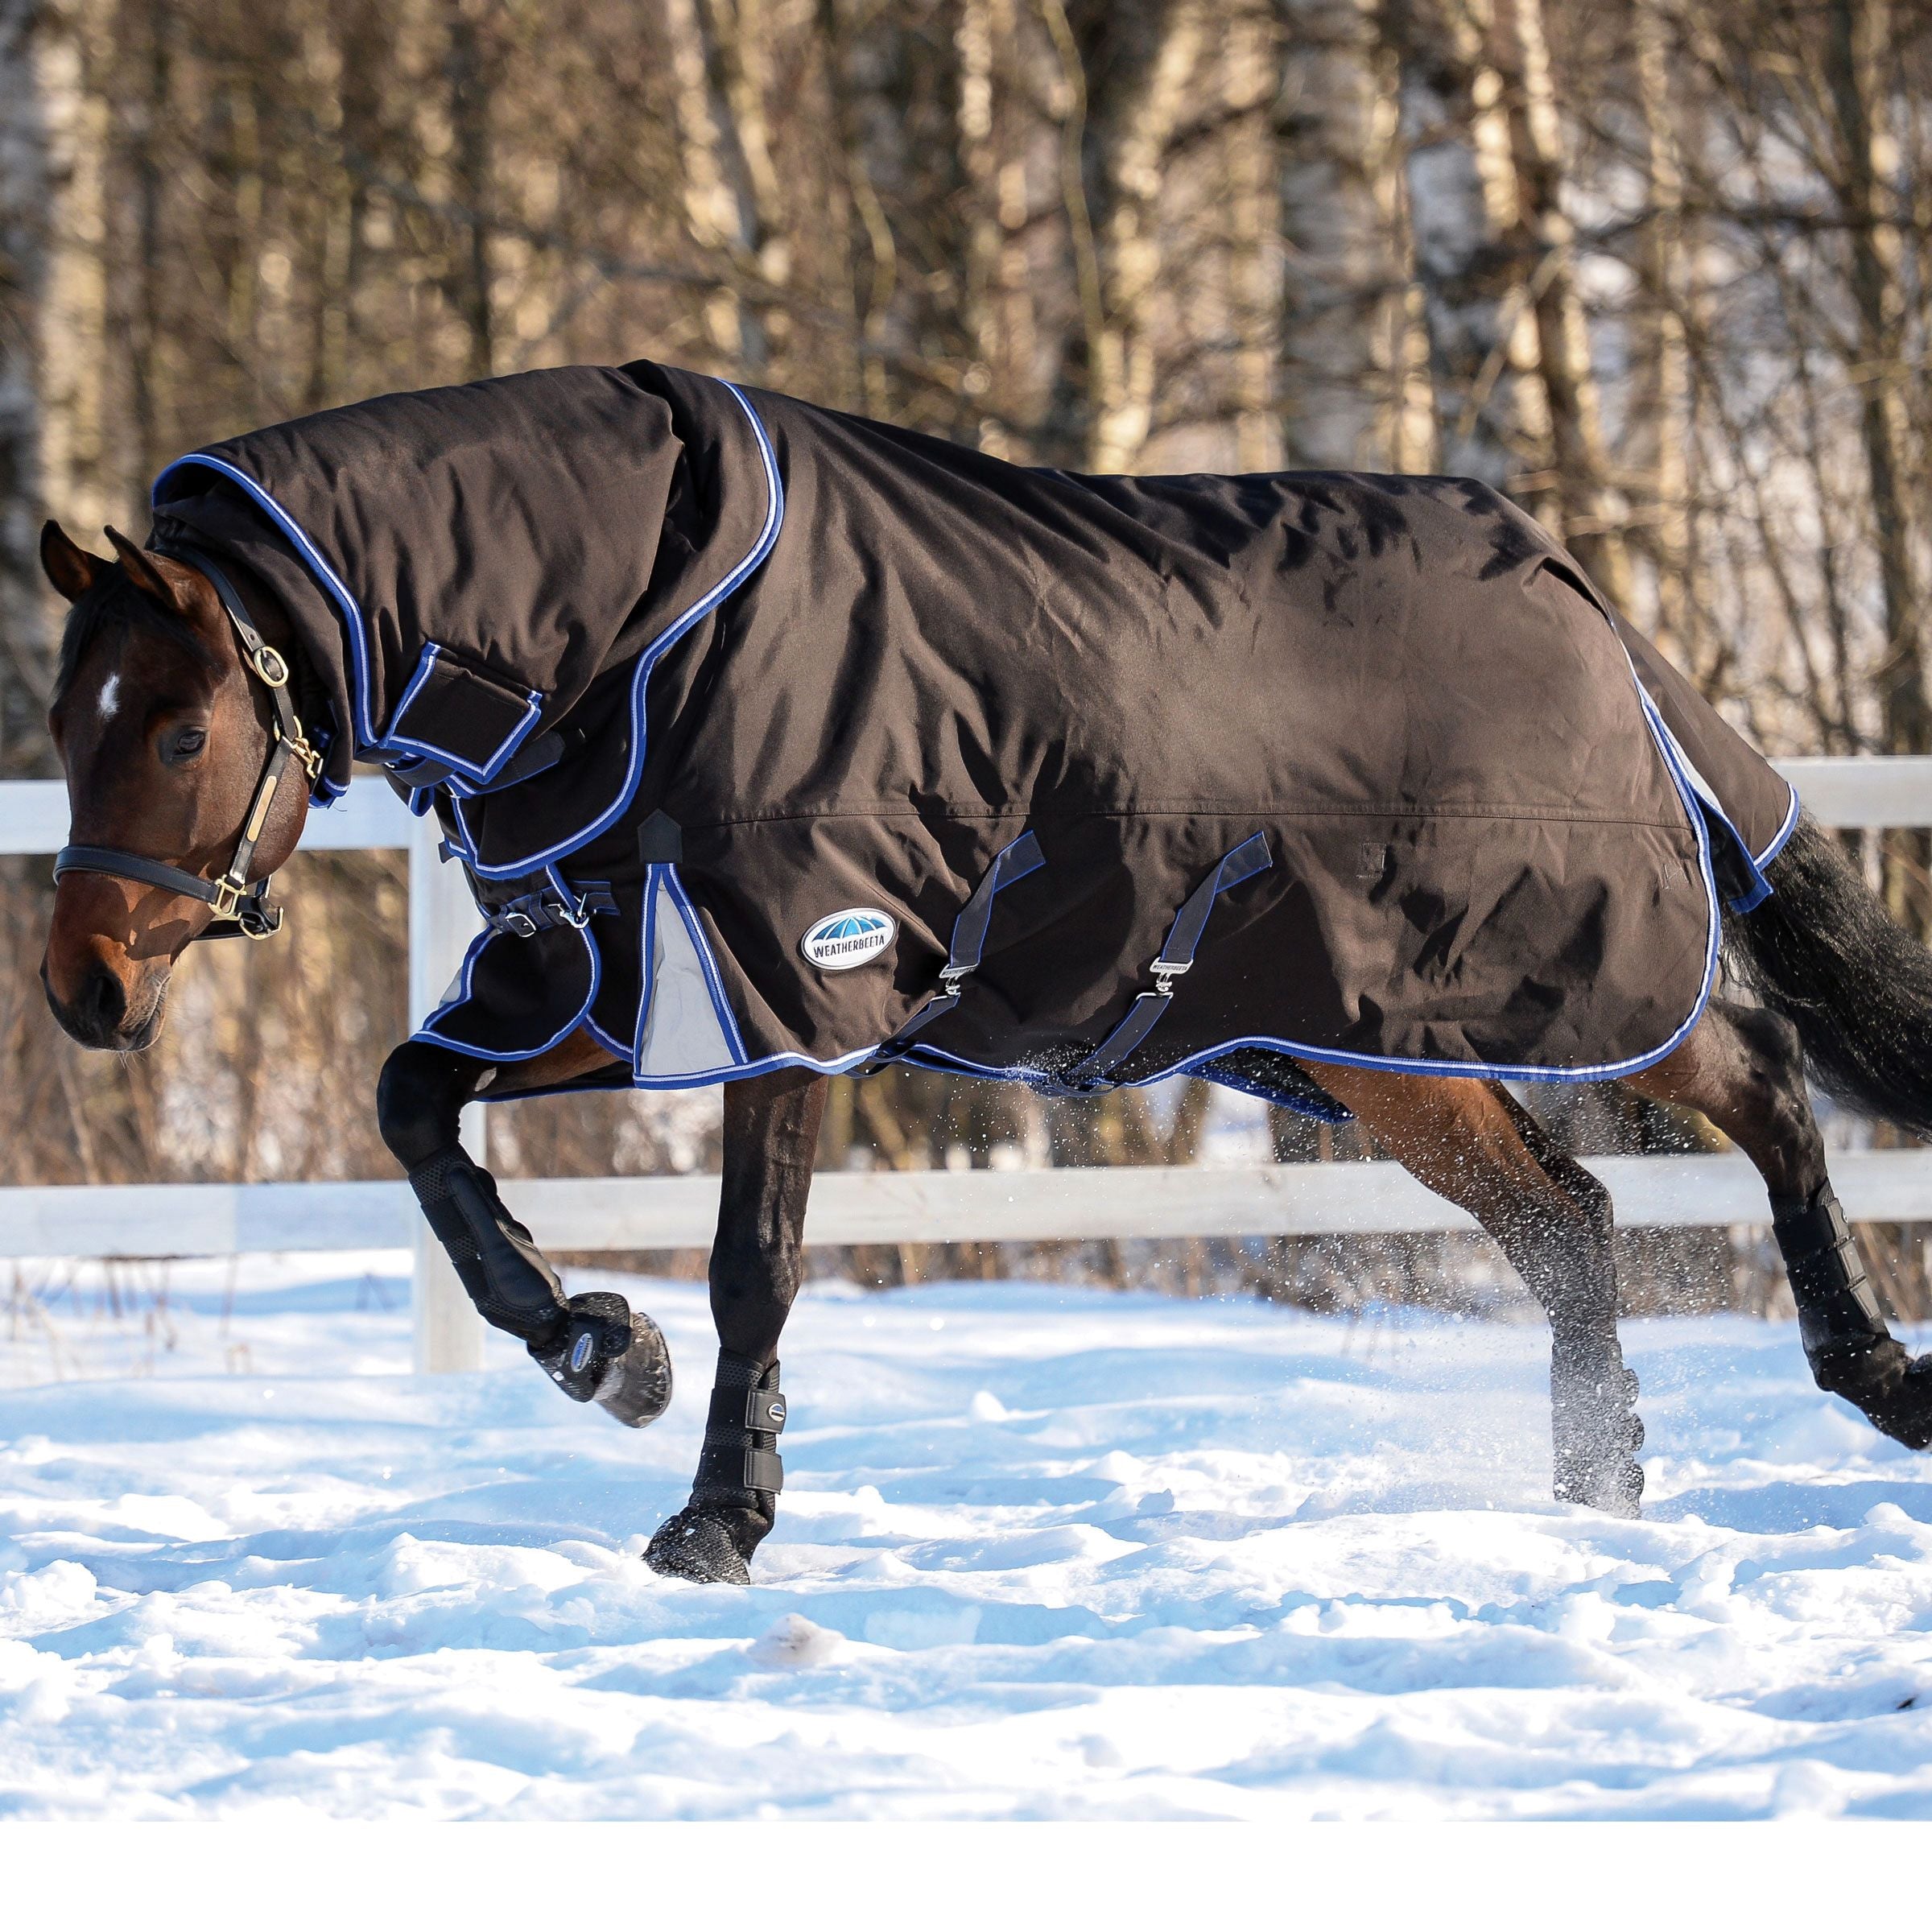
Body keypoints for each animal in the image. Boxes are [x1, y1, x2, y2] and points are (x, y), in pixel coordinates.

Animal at [34, 363, 1932, 1586]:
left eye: (185, 728)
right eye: (66, 720)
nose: (83, 992)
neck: (645, 623)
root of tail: (1563, 575)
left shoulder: (789, 992)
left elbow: (756, 1267)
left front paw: (715, 1520)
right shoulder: (618, 978)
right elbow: (414, 1106)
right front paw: (595, 1348)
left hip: (1561, 971)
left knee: (1757, 1075)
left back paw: (1872, 1377)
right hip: (1371, 1037)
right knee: (1571, 1222)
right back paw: (1598, 1489)